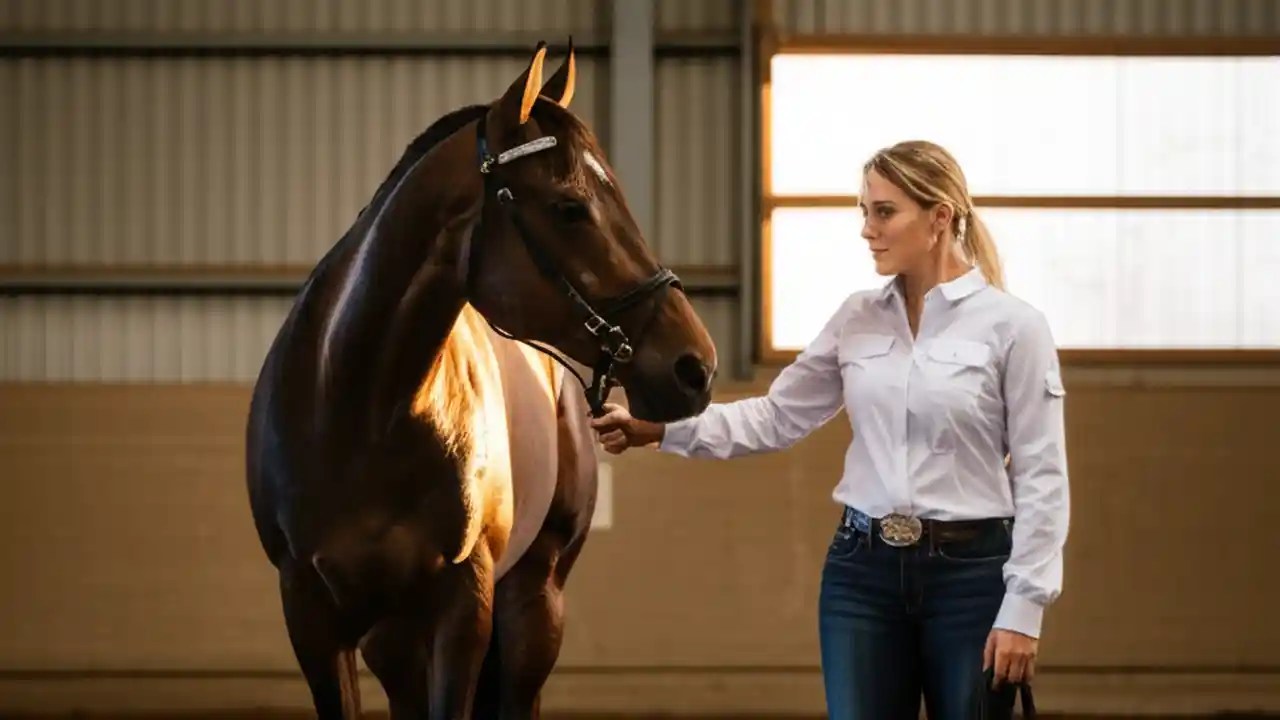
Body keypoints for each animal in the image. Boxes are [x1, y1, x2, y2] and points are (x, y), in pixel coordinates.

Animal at [244, 40, 718, 720]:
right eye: (570, 208)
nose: (694, 365)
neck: (361, 410)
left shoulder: (463, 609)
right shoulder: (310, 614)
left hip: (533, 607)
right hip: (394, 638)